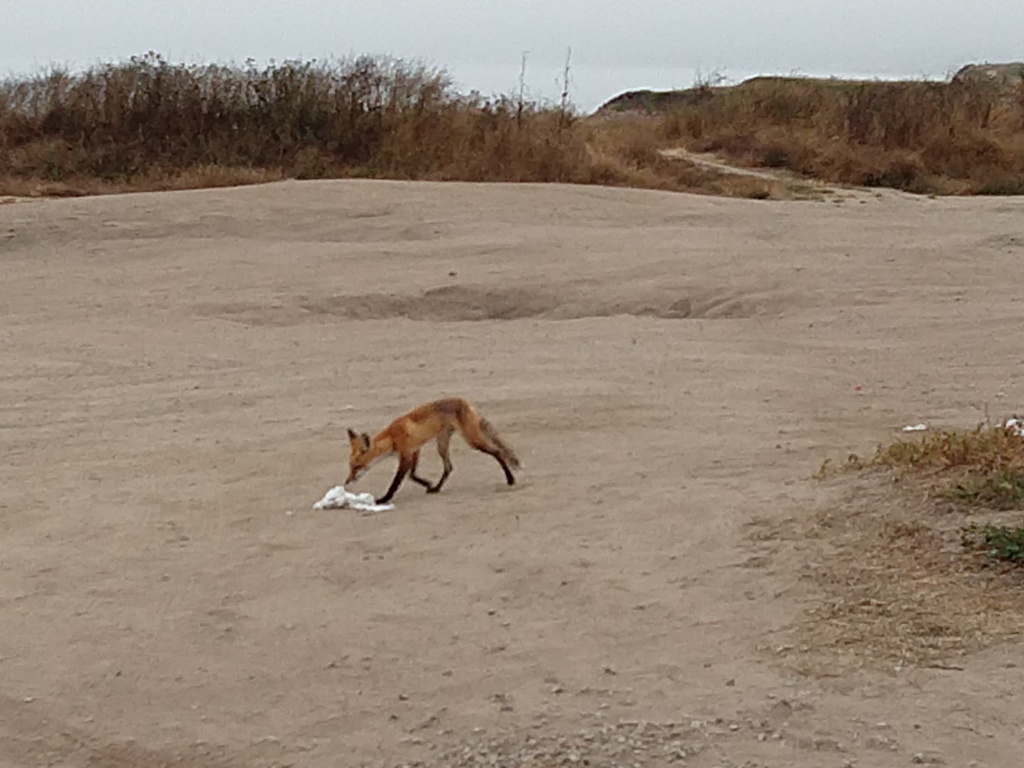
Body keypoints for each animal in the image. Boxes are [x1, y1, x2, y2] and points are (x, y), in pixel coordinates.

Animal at [346, 397, 521, 504]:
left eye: (356, 466)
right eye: (350, 466)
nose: (346, 482)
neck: (392, 437)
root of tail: (464, 401)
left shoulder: (406, 455)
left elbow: (396, 482)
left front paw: (384, 499)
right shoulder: (414, 451)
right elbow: (412, 475)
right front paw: (429, 485)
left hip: (473, 441)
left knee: (498, 452)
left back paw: (510, 479)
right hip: (441, 444)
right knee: (449, 467)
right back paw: (437, 488)